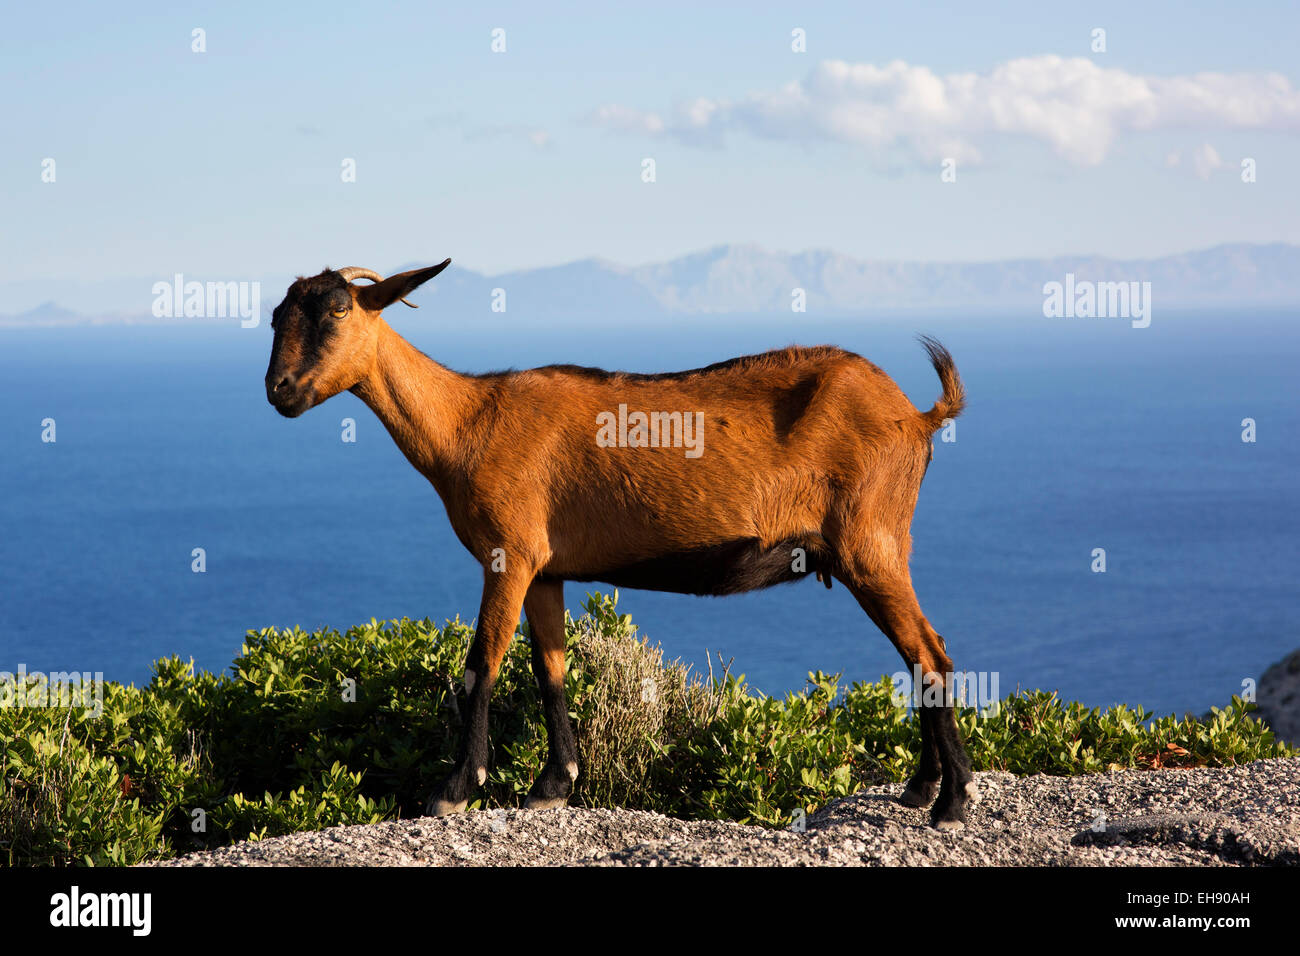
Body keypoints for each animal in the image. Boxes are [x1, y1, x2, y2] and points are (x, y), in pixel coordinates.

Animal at [263, 261, 978, 829]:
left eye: (336, 311)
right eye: (275, 316)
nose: (280, 392)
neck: (468, 424)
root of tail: (916, 416)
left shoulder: (507, 554)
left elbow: (482, 665)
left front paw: (455, 790)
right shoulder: (544, 569)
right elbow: (549, 668)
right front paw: (553, 787)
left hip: (870, 541)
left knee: (930, 653)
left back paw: (950, 803)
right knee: (921, 650)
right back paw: (921, 788)